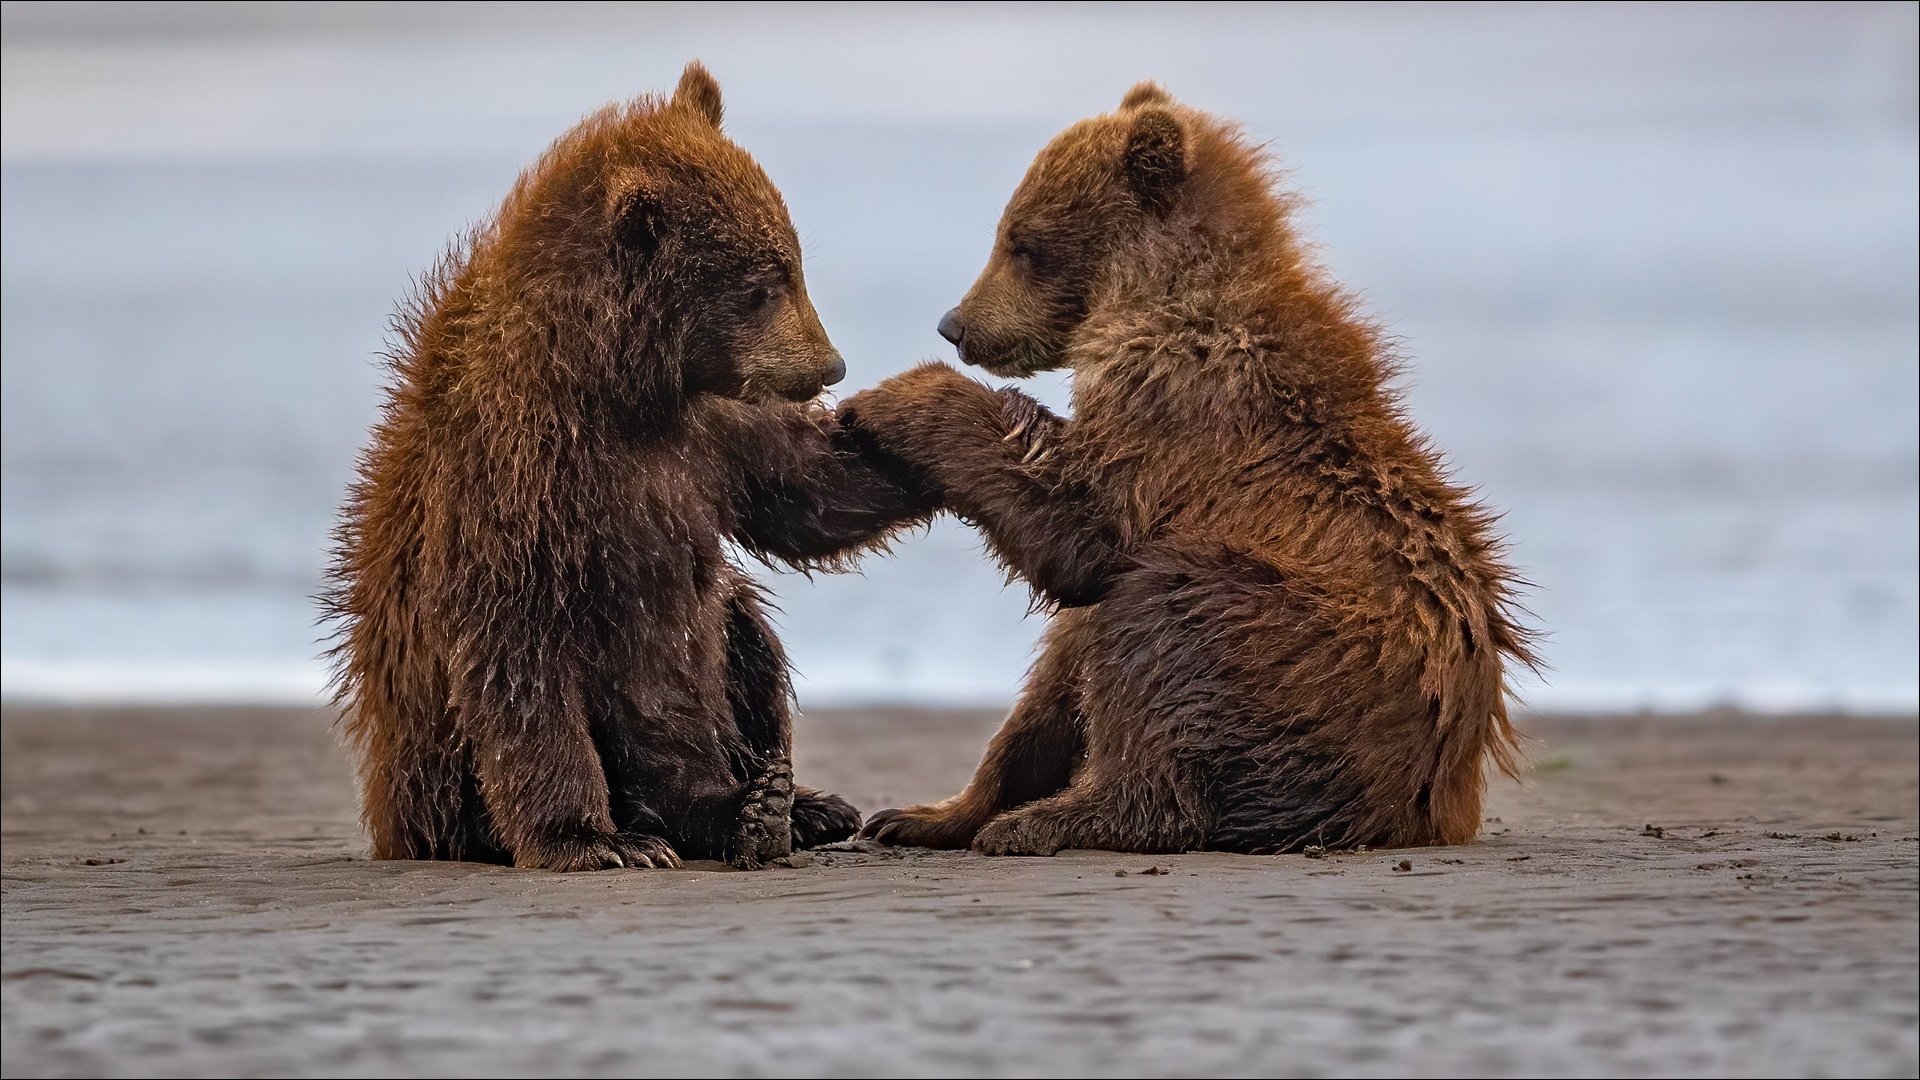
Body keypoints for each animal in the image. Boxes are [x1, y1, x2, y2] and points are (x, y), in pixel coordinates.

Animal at [322, 62, 937, 871]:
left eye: (794, 263)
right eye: (761, 284)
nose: (828, 365)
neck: (616, 389)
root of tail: (394, 820)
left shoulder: (709, 434)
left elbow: (807, 493)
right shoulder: (515, 478)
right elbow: (518, 661)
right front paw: (593, 841)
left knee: (744, 640)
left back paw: (789, 804)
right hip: (435, 776)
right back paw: (722, 817)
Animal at [842, 81, 1536, 856]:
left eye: (1022, 242)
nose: (955, 326)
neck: (1157, 297)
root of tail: (1425, 801)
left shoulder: (1179, 417)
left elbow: (1081, 529)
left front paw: (891, 398)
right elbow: (1051, 674)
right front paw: (926, 812)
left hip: (1289, 645)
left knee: (1157, 622)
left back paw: (1059, 819)